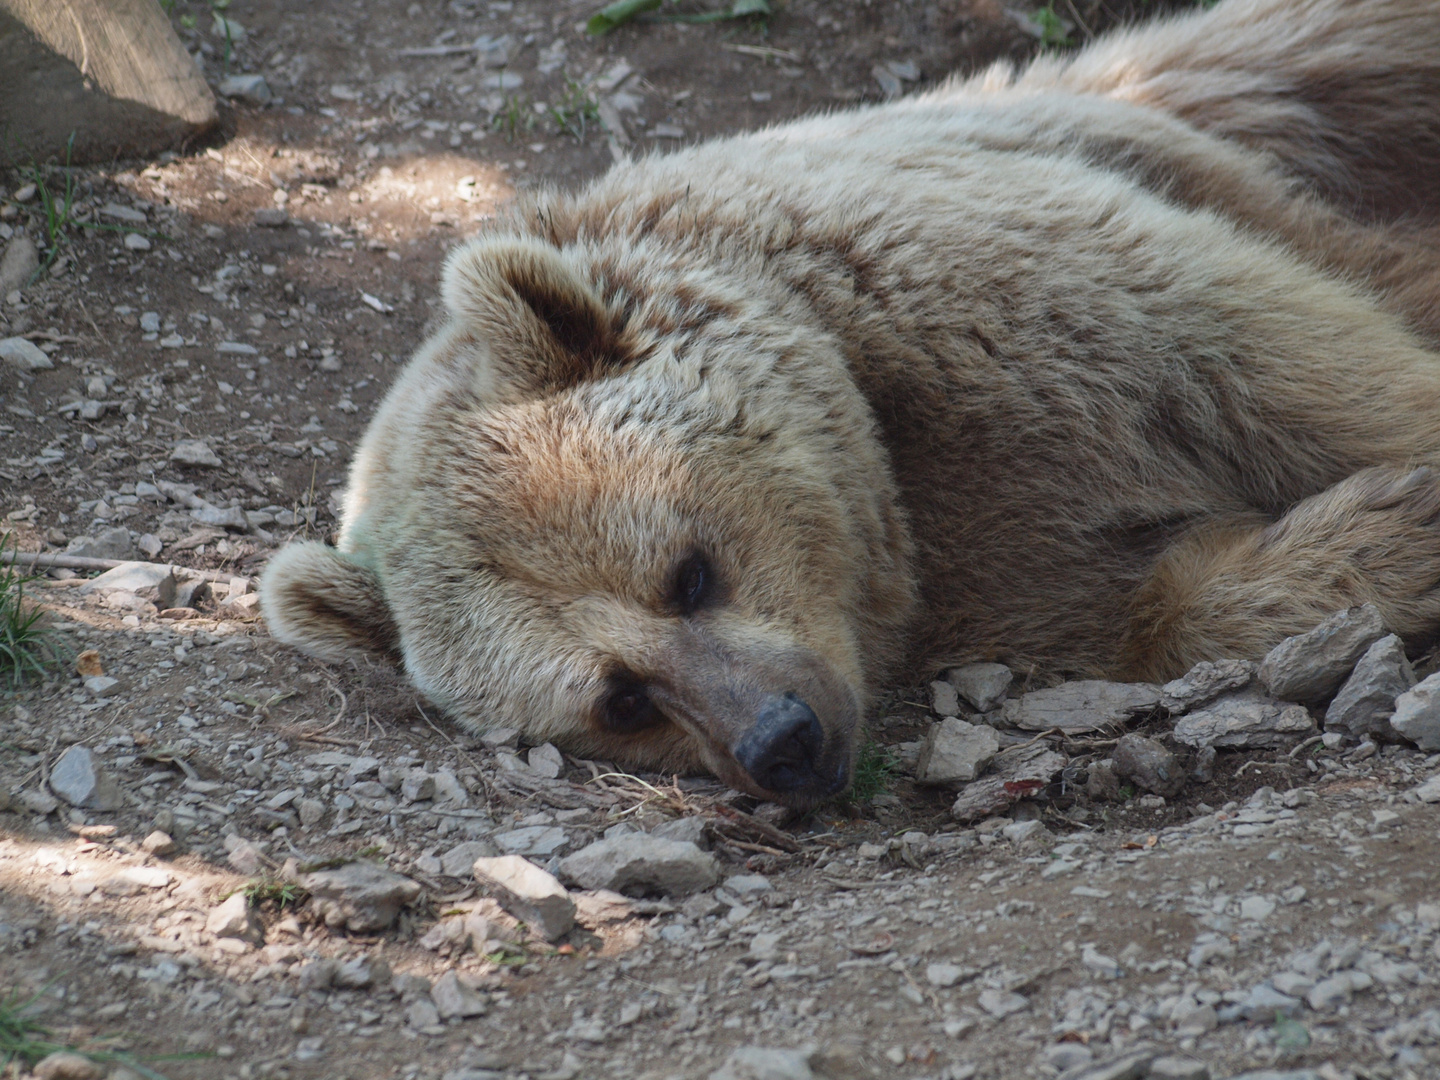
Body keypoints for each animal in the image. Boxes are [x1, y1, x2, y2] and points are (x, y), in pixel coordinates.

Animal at [262, 0, 1440, 806]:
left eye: (688, 571)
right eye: (619, 699)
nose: (781, 741)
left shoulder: (997, 294)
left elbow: (1281, 360)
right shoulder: (1010, 579)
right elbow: (1164, 603)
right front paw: (1386, 533)